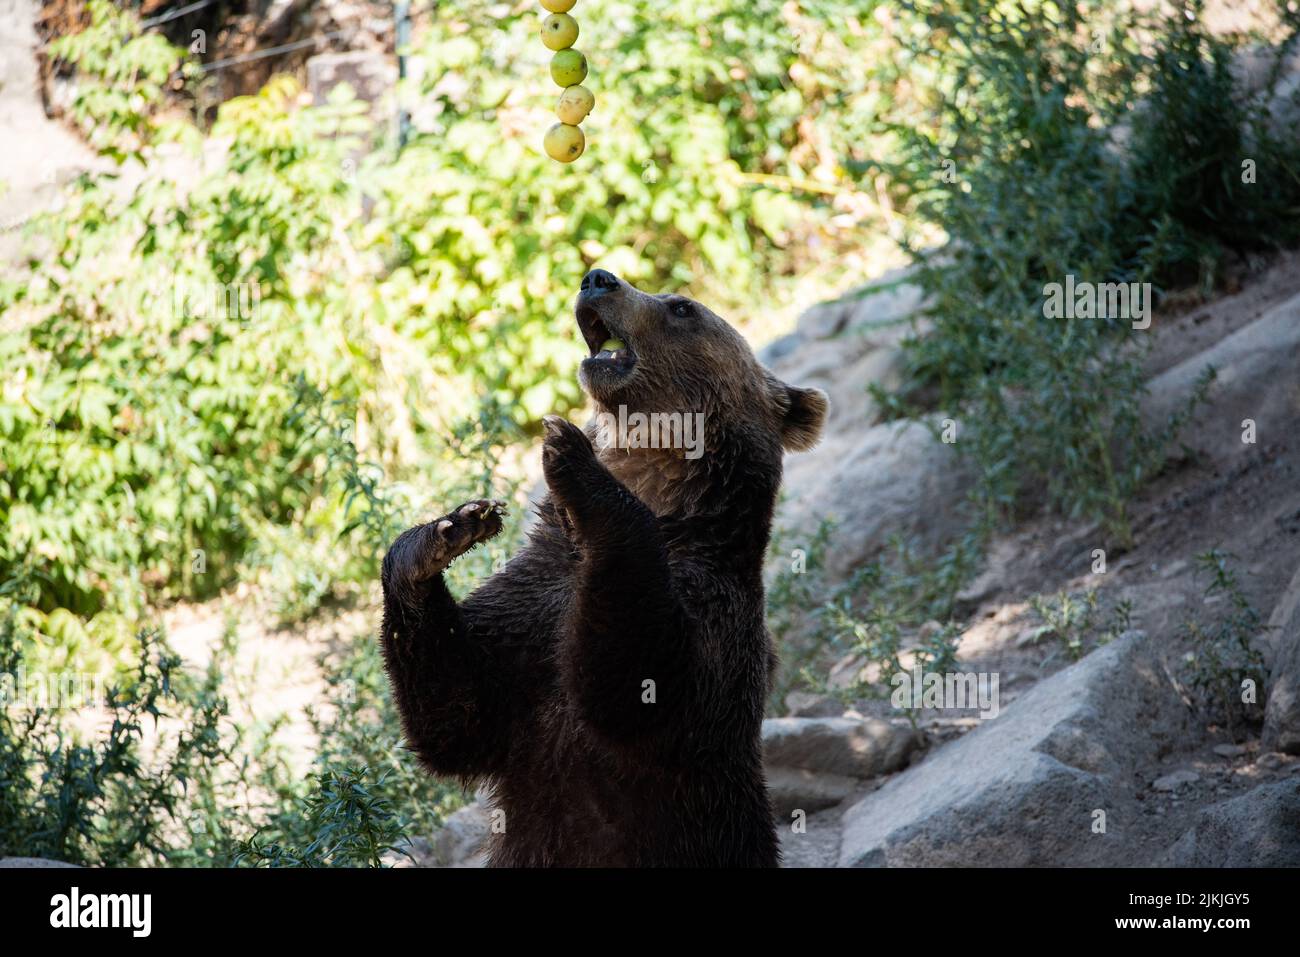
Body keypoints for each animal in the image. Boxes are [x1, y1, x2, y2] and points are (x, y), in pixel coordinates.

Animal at [380, 268, 828, 867]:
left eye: (681, 307)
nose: (598, 279)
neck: (670, 496)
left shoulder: (712, 619)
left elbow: (631, 680)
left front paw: (568, 448)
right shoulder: (531, 608)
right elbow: (458, 714)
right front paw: (446, 531)